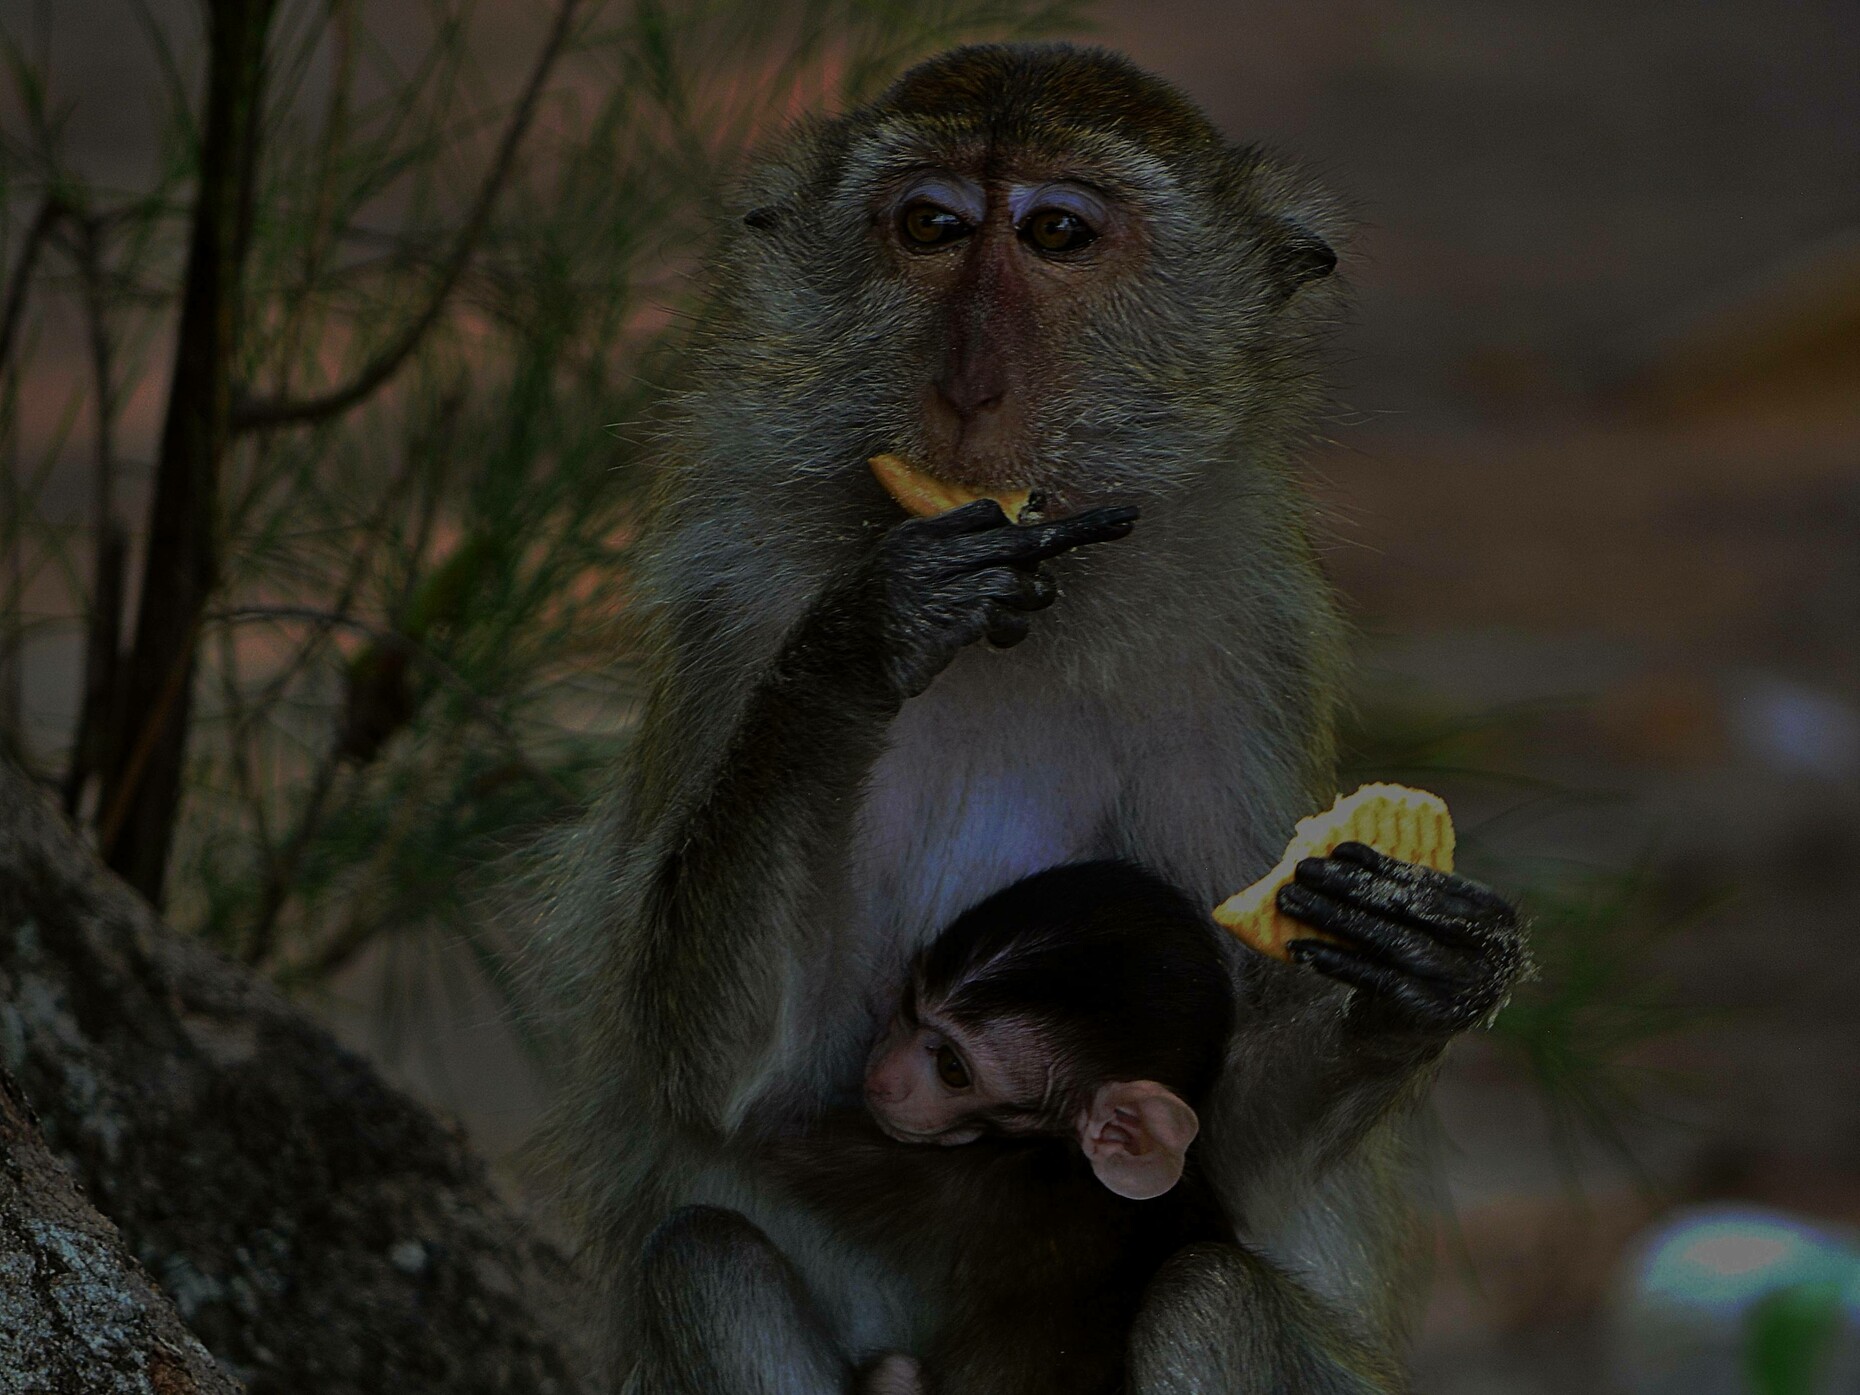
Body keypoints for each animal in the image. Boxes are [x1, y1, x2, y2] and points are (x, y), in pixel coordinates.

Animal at [540, 40, 1527, 1394]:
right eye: (931, 227)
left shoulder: (1239, 642)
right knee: (706, 1258)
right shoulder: (730, 600)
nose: (969, 385)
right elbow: (710, 1073)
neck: (1039, 605)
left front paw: (1420, 977)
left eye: (1058, 233)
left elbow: (1222, 1149)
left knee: (1211, 1294)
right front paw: (871, 632)